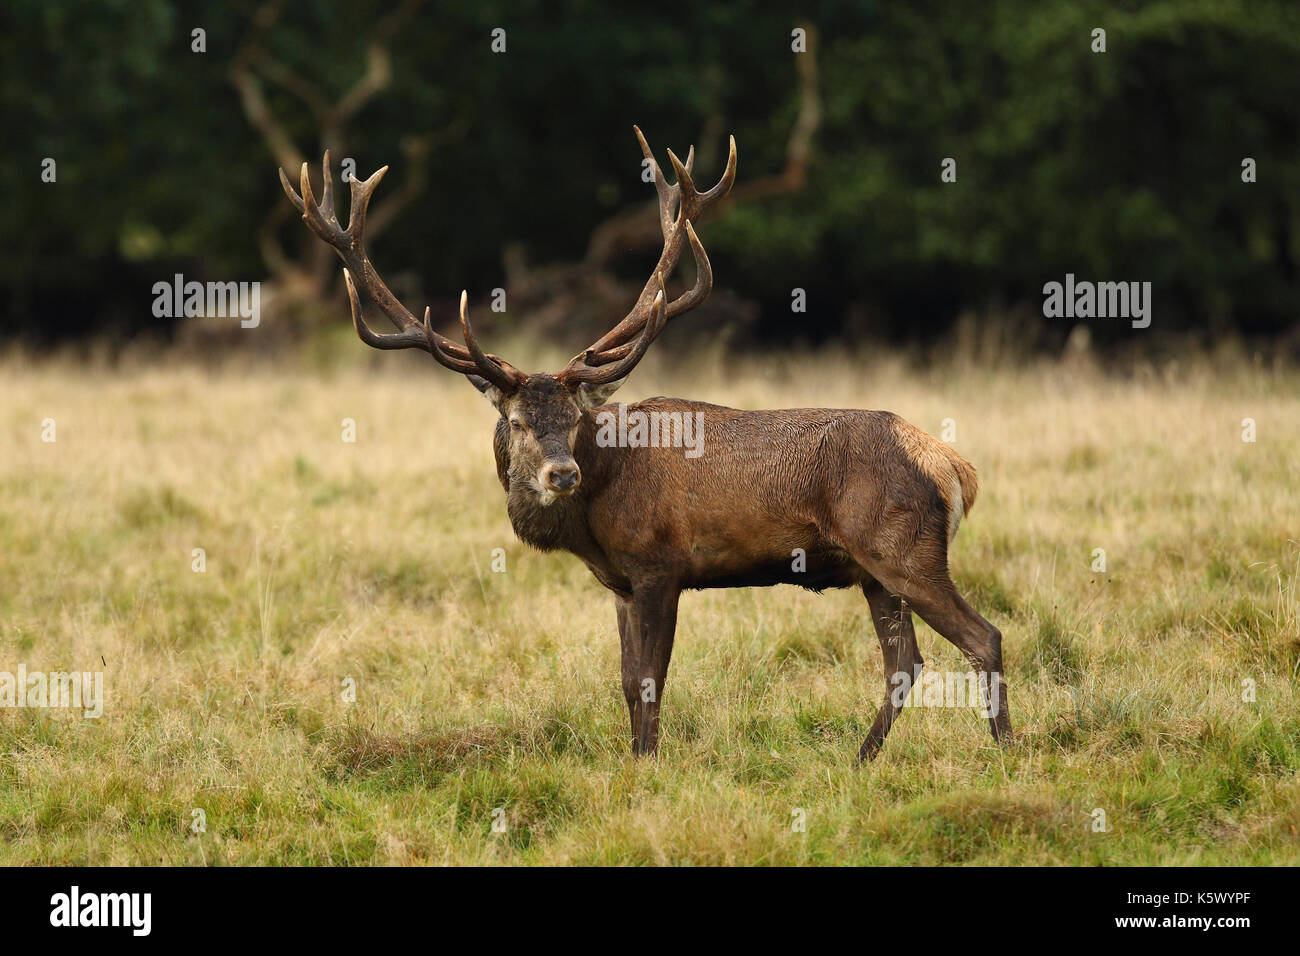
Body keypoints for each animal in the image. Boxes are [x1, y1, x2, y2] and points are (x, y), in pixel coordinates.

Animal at [279, 128, 1011, 760]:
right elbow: (629, 683)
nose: (562, 475)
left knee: (984, 636)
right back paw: (860, 761)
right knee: (905, 663)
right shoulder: (621, 583)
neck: (595, 515)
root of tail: (953, 464)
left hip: (902, 549)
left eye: (574, 417)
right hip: (872, 572)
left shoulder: (662, 566)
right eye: (516, 421)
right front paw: (635, 761)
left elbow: (653, 682)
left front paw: (653, 765)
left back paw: (1004, 750)